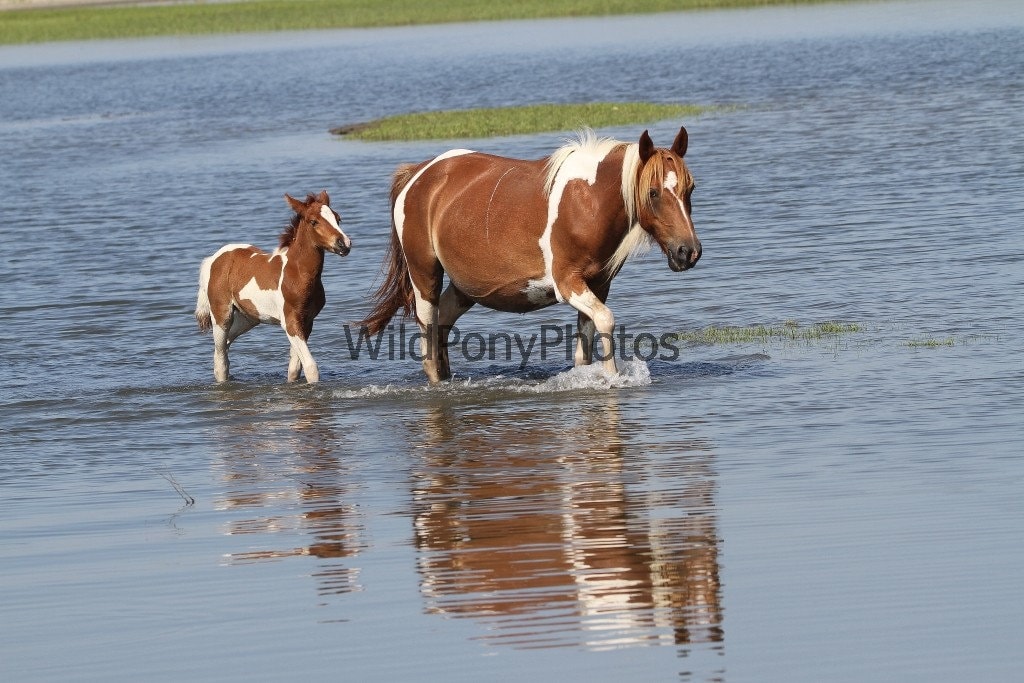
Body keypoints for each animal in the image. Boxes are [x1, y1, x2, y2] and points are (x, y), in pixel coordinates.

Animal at [195, 191, 351, 383]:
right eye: (314, 221)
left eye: (338, 218)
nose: (344, 244)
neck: (297, 273)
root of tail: (214, 259)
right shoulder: (290, 322)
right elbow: (311, 367)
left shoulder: (307, 321)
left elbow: (294, 369)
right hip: (222, 315)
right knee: (220, 357)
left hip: (250, 317)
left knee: (225, 346)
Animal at [360, 127, 701, 383]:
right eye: (653, 192)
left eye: (690, 189)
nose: (688, 251)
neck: (588, 201)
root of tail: (418, 174)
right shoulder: (568, 284)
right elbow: (606, 320)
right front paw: (613, 377)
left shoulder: (597, 285)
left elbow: (585, 348)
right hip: (424, 277)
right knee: (430, 343)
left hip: (464, 289)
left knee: (442, 328)